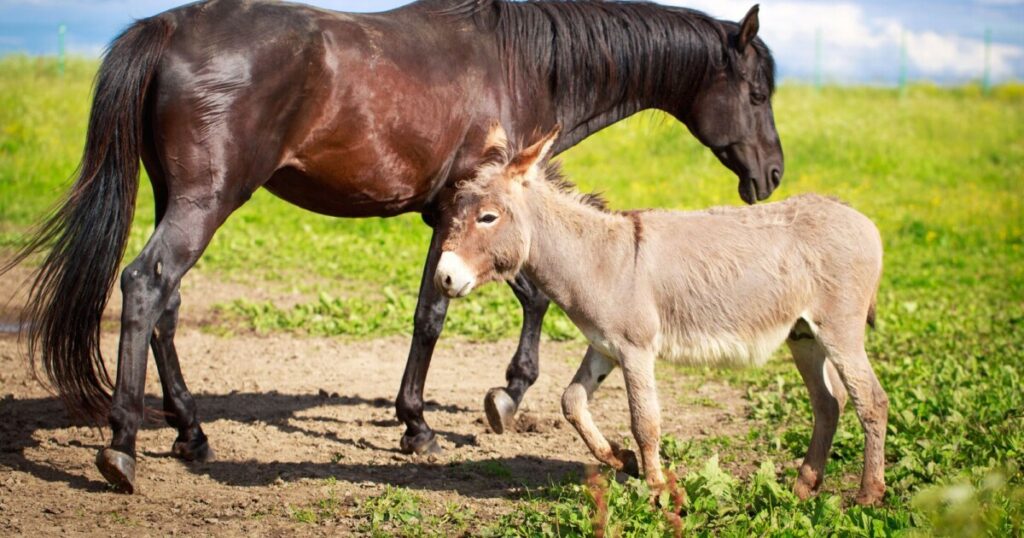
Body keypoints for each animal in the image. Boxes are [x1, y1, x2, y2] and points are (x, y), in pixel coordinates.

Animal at [1, 0, 782, 493]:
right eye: (757, 91)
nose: (771, 175)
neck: (522, 62)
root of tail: (167, 26)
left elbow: (513, 293)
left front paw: (487, 400)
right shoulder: (463, 211)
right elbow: (449, 310)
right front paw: (444, 416)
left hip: (182, 201)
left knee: (167, 303)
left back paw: (191, 432)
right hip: (204, 203)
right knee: (144, 284)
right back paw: (122, 446)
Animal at [434, 125, 887, 506]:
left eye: (488, 217)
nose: (444, 278)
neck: (599, 258)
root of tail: (863, 219)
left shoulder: (635, 349)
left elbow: (644, 421)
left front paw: (657, 490)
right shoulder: (605, 345)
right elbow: (572, 401)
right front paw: (621, 459)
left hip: (839, 330)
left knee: (871, 400)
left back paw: (868, 495)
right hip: (803, 335)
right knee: (829, 403)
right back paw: (804, 486)